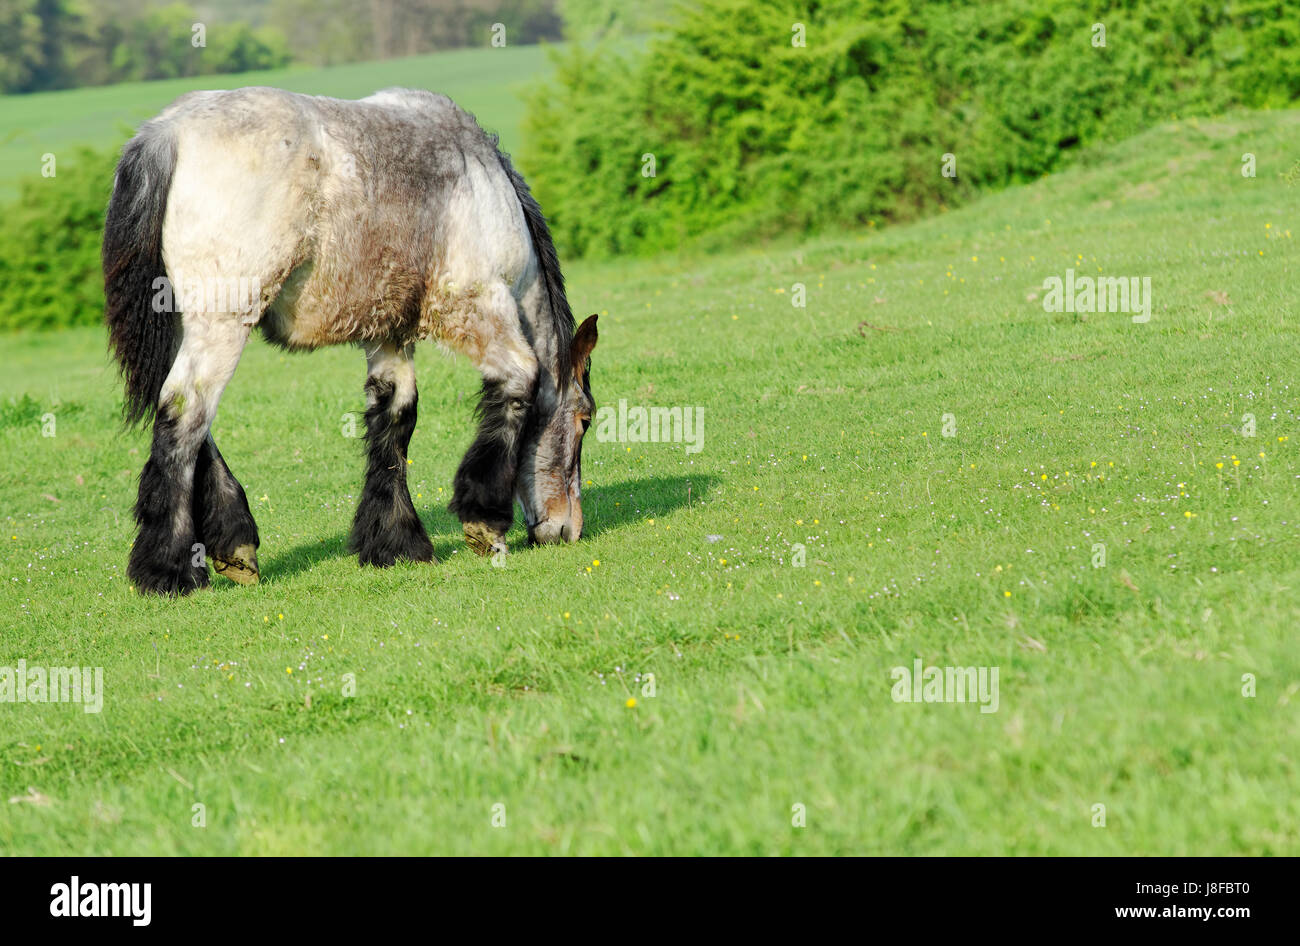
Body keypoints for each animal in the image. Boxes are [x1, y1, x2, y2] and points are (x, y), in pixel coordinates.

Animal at [103, 87, 598, 596]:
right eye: (585, 420)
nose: (568, 529)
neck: (487, 190)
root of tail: (165, 133)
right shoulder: (477, 303)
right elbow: (520, 378)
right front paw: (483, 521)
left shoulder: (390, 333)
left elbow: (396, 417)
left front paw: (394, 543)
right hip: (221, 324)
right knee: (185, 413)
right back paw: (169, 568)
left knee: (184, 414)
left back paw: (233, 542)